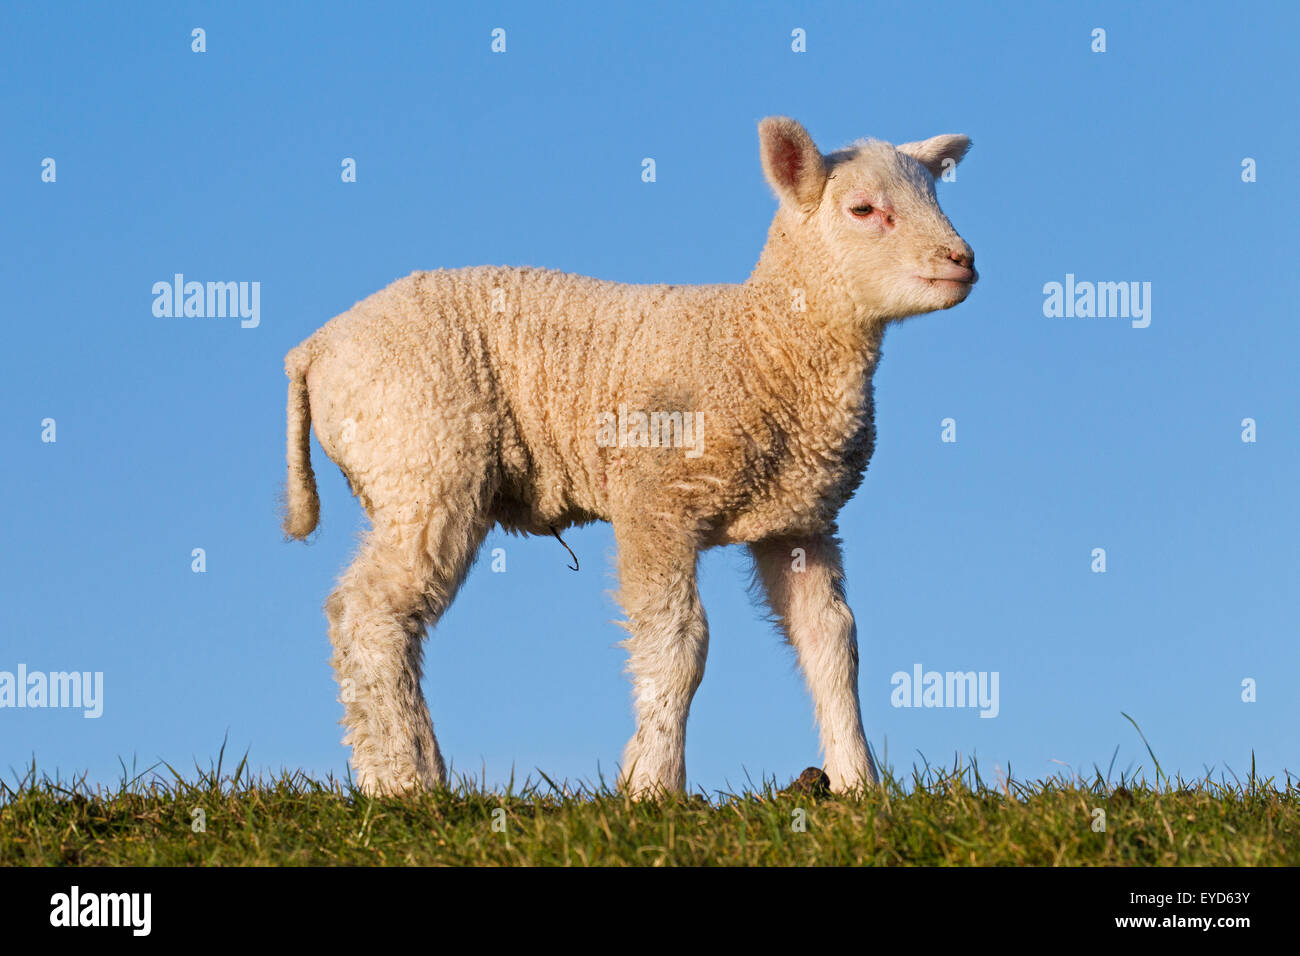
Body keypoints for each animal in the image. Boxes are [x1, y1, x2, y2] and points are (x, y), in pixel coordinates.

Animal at [283, 116, 977, 797]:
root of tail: (313, 349)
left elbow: (833, 643)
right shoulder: (655, 500)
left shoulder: (798, 520)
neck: (763, 340)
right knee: (369, 614)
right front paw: (654, 785)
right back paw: (404, 780)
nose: (963, 260)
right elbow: (678, 644)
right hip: (425, 460)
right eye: (864, 209)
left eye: (935, 196)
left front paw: (858, 785)